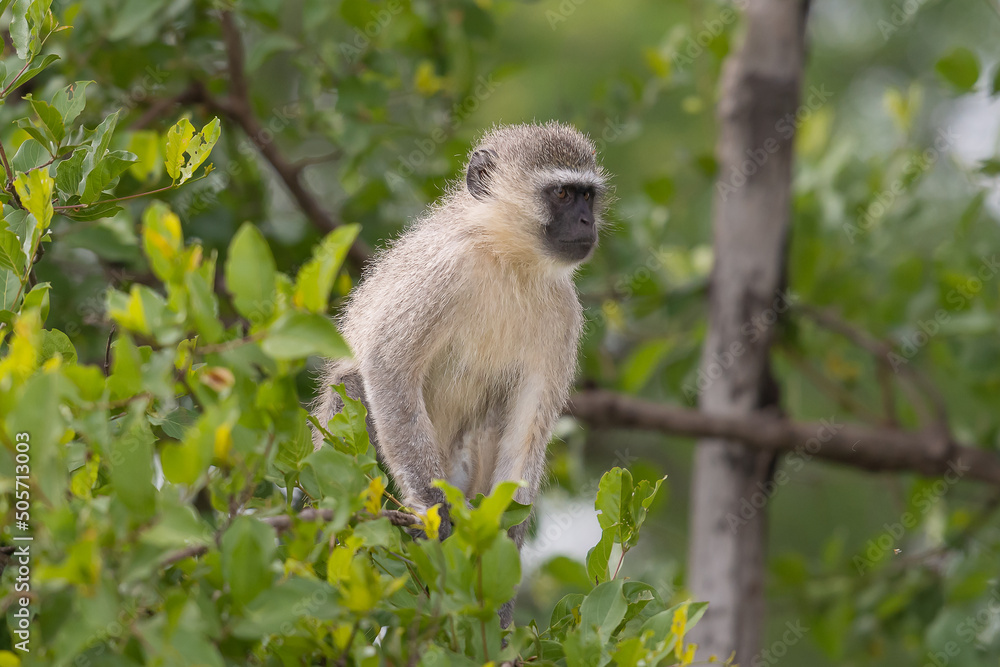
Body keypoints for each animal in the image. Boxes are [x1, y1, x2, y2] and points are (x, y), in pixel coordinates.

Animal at [311, 121, 610, 626]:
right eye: (563, 194)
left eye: (588, 197)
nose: (588, 223)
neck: (509, 261)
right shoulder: (443, 273)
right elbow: (387, 365)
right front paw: (434, 516)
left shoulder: (565, 314)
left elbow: (527, 432)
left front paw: (502, 588)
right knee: (353, 384)